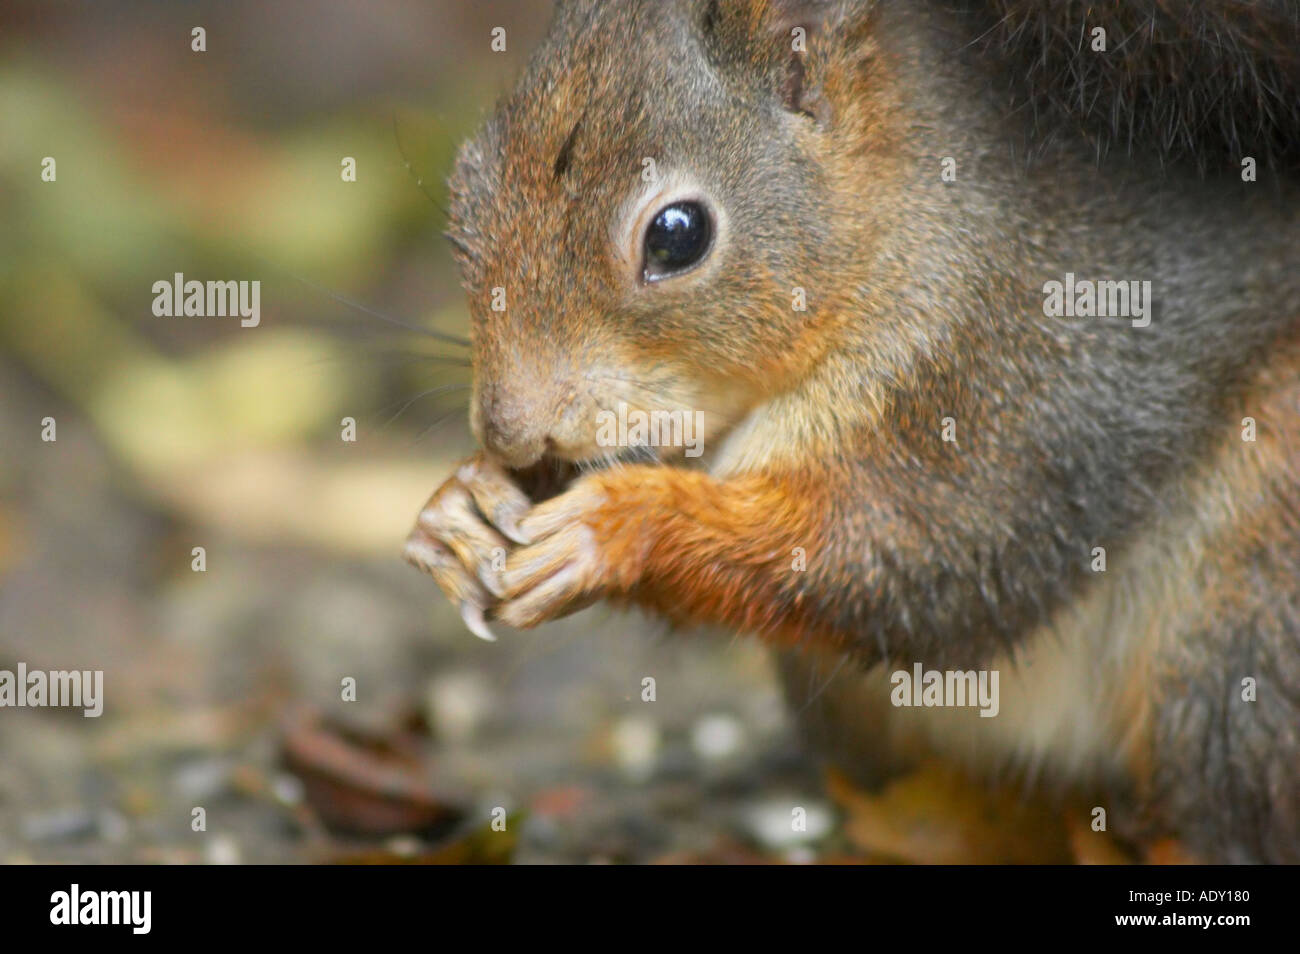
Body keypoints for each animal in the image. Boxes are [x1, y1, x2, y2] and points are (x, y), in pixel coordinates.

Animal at [403, 0, 1300, 863]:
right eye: (464, 194)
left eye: (677, 235)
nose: (510, 430)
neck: (901, 238)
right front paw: (460, 509)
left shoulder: (1025, 386)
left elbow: (923, 554)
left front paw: (618, 527)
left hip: (1238, 614)